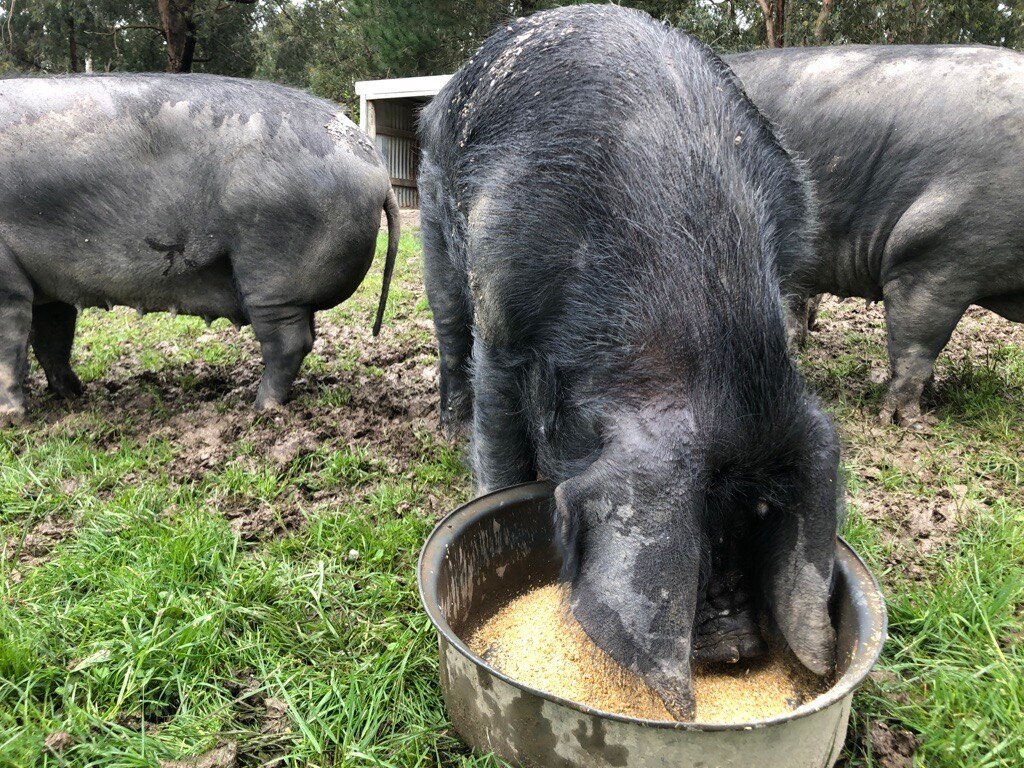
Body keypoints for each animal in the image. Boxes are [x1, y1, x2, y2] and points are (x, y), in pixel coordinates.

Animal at [0, 74, 399, 424]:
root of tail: (378, 170)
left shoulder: (8, 279)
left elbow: (11, 343)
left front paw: (14, 421)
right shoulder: (49, 285)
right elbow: (51, 338)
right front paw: (72, 395)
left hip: (273, 273)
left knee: (288, 342)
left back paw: (260, 409)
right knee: (306, 338)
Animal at [418, 4, 842, 719]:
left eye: (759, 516)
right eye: (702, 525)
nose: (742, 652)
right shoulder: (500, 306)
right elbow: (500, 437)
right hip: (435, 229)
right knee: (450, 331)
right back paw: (448, 426)